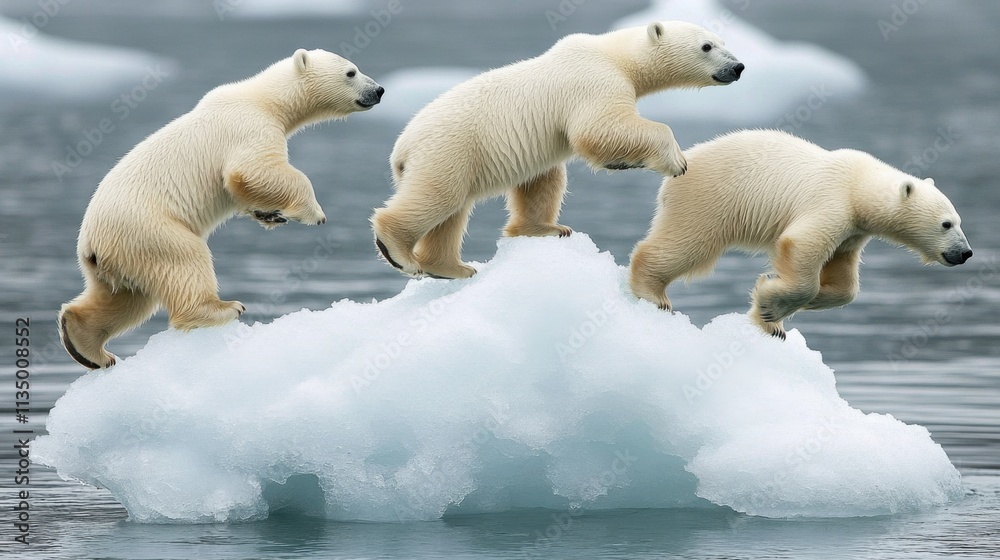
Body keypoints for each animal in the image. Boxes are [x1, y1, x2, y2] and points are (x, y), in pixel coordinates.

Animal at [58, 48, 384, 369]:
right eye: (351, 72)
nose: (378, 90)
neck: (264, 99)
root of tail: (90, 244)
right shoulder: (251, 127)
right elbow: (250, 169)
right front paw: (312, 213)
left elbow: (241, 187)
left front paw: (269, 214)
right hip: (147, 230)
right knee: (184, 261)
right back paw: (222, 308)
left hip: (116, 258)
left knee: (125, 299)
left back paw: (85, 345)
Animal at [371, 21, 744, 279]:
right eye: (707, 46)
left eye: (724, 42)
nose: (738, 67)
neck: (614, 55)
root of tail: (400, 150)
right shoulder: (594, 81)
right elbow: (598, 127)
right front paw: (675, 160)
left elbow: (543, 177)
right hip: (449, 150)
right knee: (437, 198)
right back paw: (398, 251)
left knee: (455, 211)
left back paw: (454, 267)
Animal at [629, 129, 973, 339]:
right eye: (946, 223)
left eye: (959, 221)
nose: (965, 252)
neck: (858, 186)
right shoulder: (832, 202)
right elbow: (802, 245)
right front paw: (770, 312)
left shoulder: (853, 232)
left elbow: (844, 278)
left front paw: (788, 314)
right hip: (708, 200)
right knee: (687, 245)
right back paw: (654, 293)